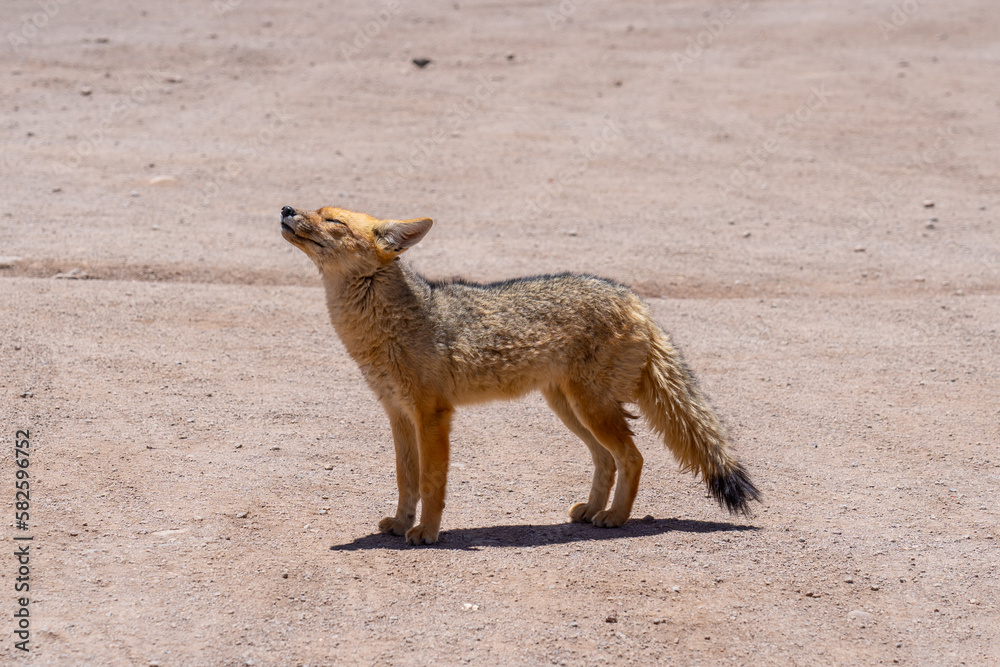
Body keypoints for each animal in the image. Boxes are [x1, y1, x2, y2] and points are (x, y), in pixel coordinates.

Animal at [280, 205, 761, 545]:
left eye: (332, 219)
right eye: (315, 209)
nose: (285, 209)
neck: (388, 324)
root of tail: (633, 298)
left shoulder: (433, 415)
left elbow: (432, 482)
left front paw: (427, 534)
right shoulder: (398, 414)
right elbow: (406, 480)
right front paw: (400, 524)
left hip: (591, 409)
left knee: (633, 457)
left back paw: (615, 518)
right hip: (570, 410)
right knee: (607, 460)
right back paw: (593, 511)